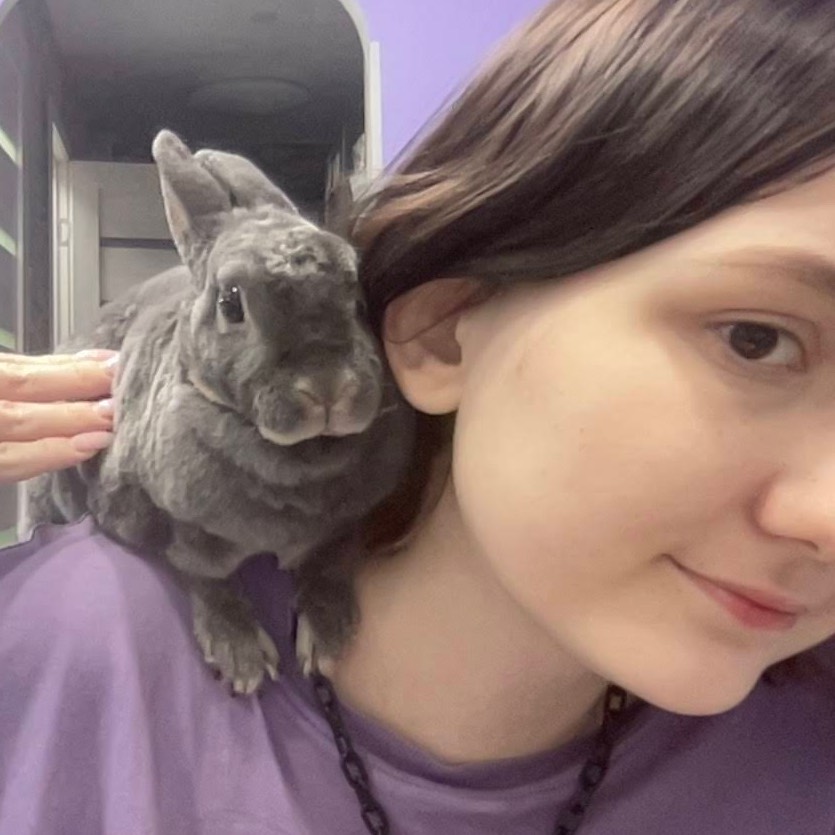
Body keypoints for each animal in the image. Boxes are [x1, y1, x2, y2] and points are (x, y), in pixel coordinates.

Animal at [25, 130, 416, 695]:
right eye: (232, 303)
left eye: (357, 291)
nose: (328, 388)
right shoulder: (153, 518)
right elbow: (201, 573)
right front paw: (241, 658)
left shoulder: (344, 526)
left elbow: (327, 561)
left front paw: (328, 639)